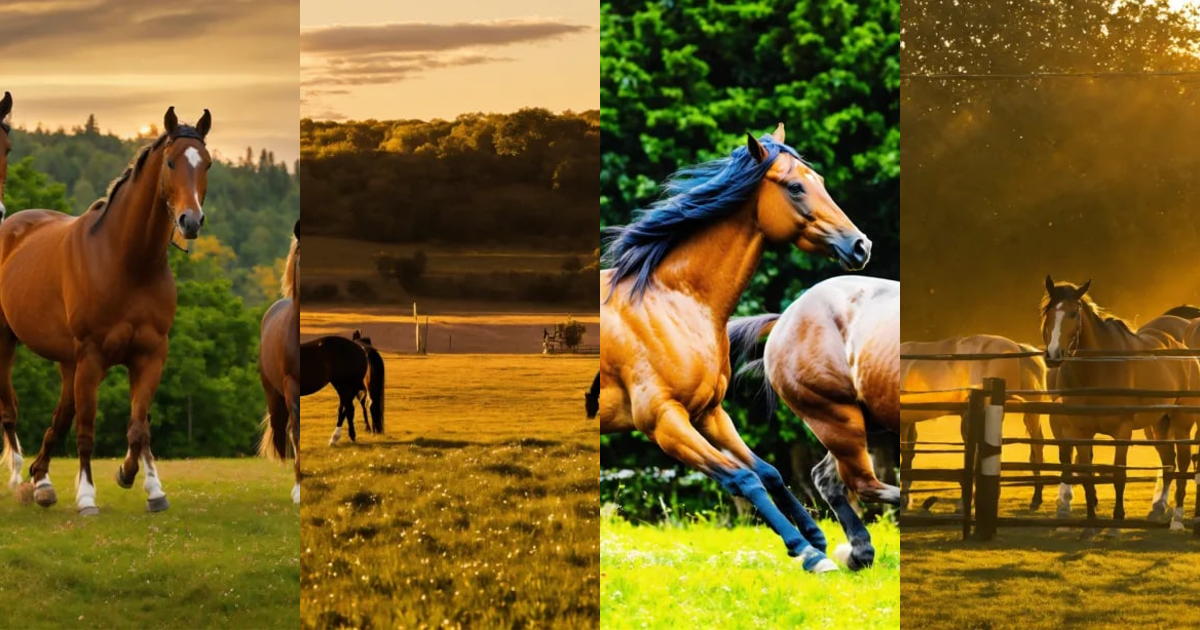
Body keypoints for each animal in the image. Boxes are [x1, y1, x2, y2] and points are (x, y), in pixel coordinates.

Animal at [0, 107, 212, 514]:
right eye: (171, 162)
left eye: (207, 163)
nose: (190, 221)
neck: (126, 261)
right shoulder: (93, 356)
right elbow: (87, 429)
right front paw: (86, 497)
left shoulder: (149, 355)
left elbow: (138, 427)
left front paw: (144, 483)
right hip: (10, 344)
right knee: (11, 408)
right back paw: (19, 476)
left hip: (69, 362)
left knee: (60, 416)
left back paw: (42, 481)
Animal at [598, 124, 871, 573]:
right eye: (796, 187)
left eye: (820, 180)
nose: (861, 245)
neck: (673, 301)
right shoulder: (663, 421)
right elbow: (741, 478)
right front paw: (808, 551)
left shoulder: (709, 413)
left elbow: (768, 471)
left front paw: (815, 537)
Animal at [728, 276, 899, 571]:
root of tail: (785, 317)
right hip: (836, 416)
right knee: (860, 483)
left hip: (848, 422)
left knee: (826, 477)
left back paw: (858, 553)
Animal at [900, 335, 1048, 511]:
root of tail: (1018, 348)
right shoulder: (909, 421)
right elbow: (908, 456)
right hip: (1031, 411)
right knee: (1037, 448)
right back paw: (1036, 498)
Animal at [1042, 276, 1200, 531]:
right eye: (1048, 312)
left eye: (1074, 313)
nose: (1054, 355)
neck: (1098, 370)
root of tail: (1186, 352)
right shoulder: (1081, 431)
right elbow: (1086, 474)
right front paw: (1090, 523)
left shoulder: (1122, 431)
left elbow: (1119, 475)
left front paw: (1116, 524)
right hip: (1158, 424)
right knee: (1169, 462)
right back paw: (1158, 510)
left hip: (1182, 423)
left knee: (1184, 463)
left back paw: (1177, 519)